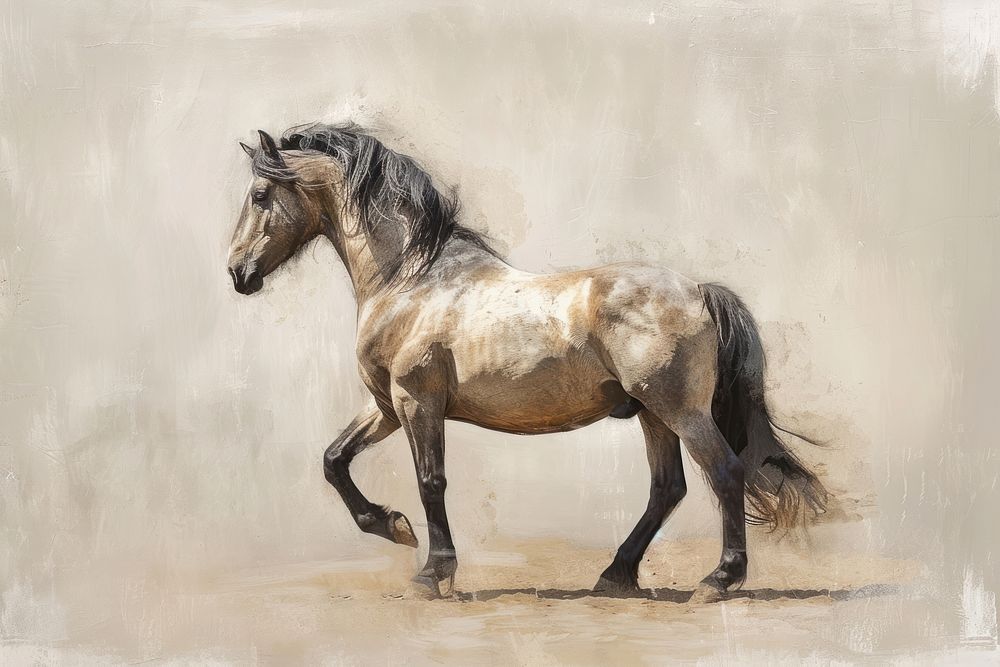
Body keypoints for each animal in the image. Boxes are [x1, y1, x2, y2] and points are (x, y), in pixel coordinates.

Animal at [226, 124, 828, 601]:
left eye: (260, 195)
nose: (237, 272)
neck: (412, 280)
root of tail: (700, 290)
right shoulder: (388, 405)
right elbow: (334, 460)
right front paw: (392, 526)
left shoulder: (416, 402)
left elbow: (431, 481)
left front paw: (432, 573)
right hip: (653, 414)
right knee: (668, 489)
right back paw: (615, 576)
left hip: (680, 411)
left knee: (724, 473)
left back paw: (718, 580)